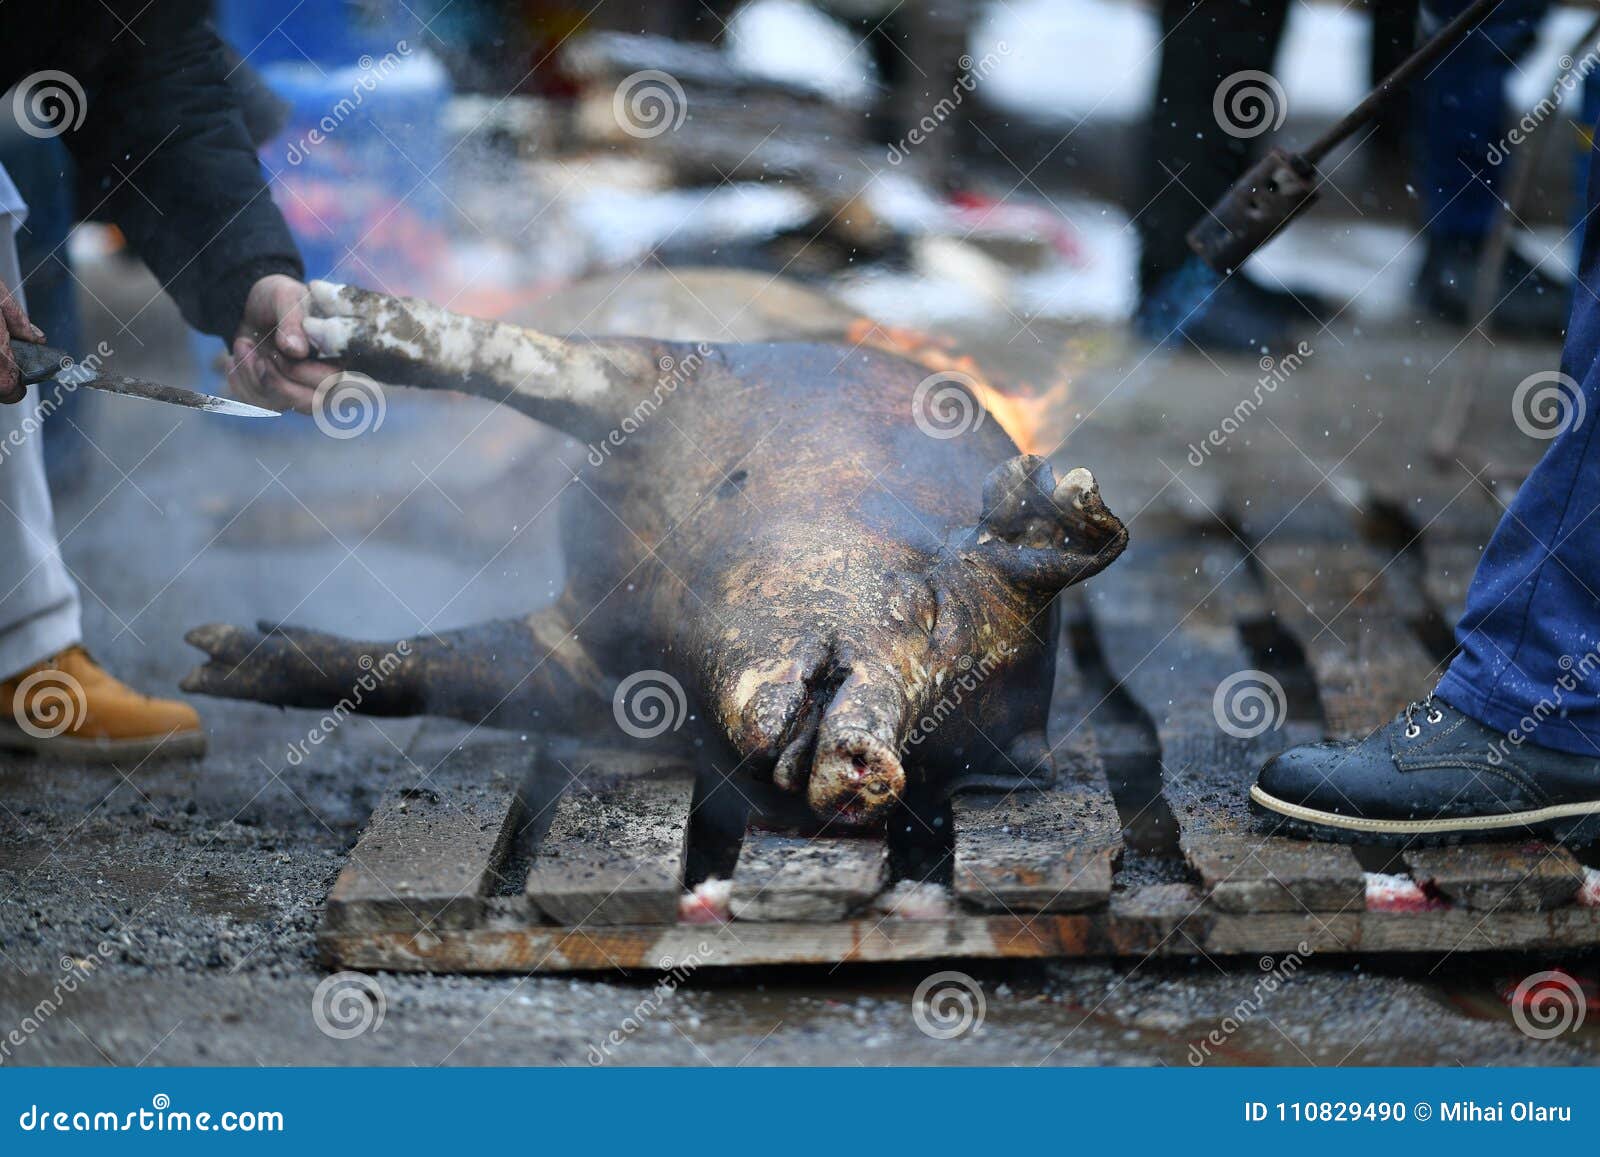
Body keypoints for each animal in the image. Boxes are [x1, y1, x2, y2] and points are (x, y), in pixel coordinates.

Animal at [181, 281, 1128, 827]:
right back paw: (220, 522)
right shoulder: (658, 372)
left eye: (942, 743)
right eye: (932, 611)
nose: (876, 770)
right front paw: (326, 313)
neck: (682, 583)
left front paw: (215, 662)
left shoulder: (575, 667)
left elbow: (426, 670)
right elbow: (513, 355)